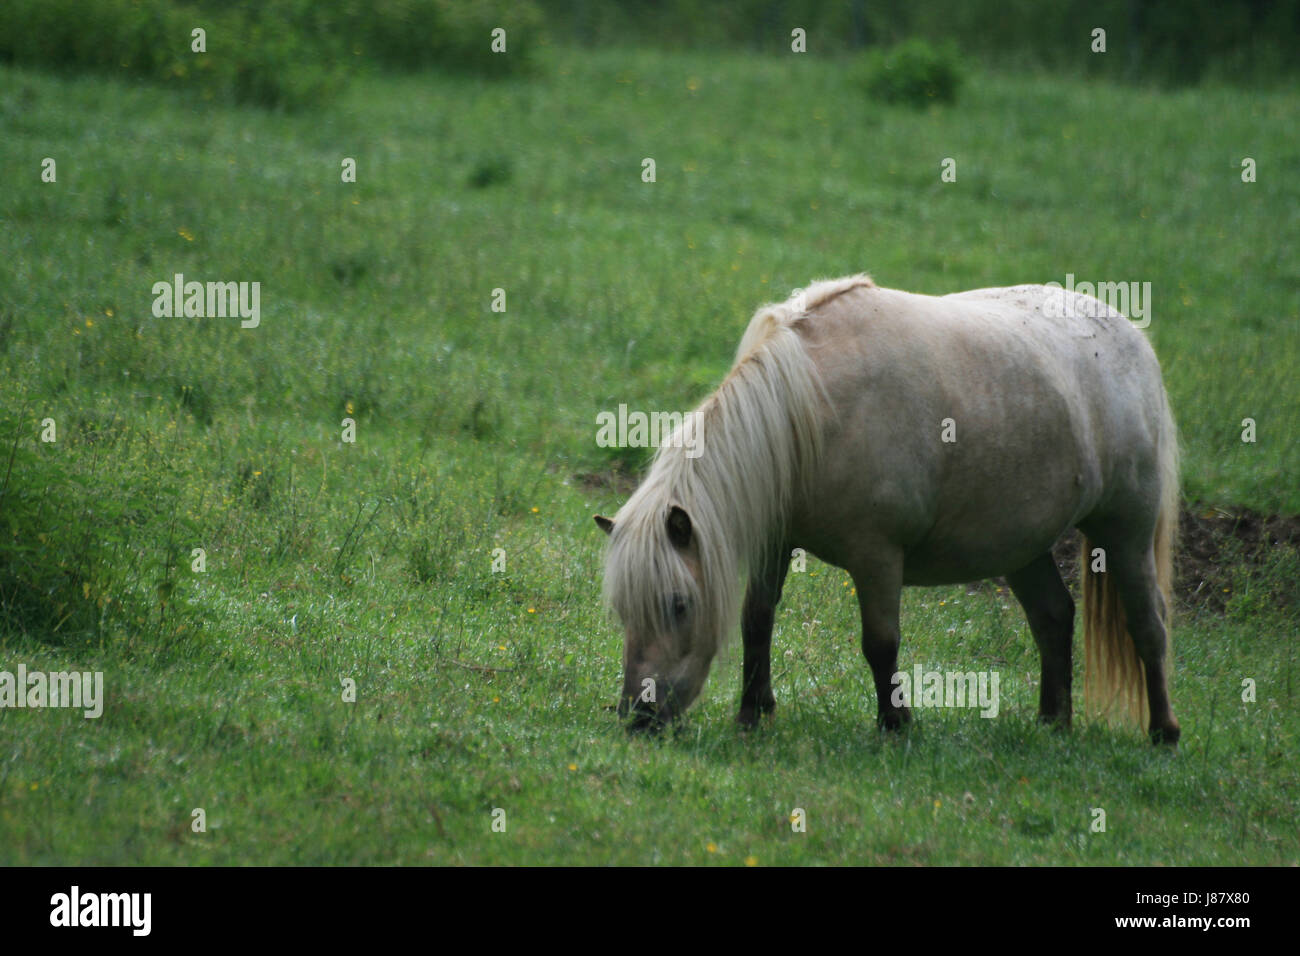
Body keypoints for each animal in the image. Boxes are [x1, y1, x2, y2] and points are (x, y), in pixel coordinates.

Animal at [595, 274, 1181, 745]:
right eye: (623, 610)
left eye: (678, 605)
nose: (638, 717)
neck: (810, 409)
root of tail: (1134, 341)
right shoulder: (775, 541)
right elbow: (756, 621)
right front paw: (752, 715)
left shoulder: (876, 558)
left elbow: (880, 644)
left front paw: (894, 724)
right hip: (1023, 547)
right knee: (1053, 618)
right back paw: (1053, 724)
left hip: (1125, 532)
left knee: (1148, 623)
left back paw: (1164, 733)